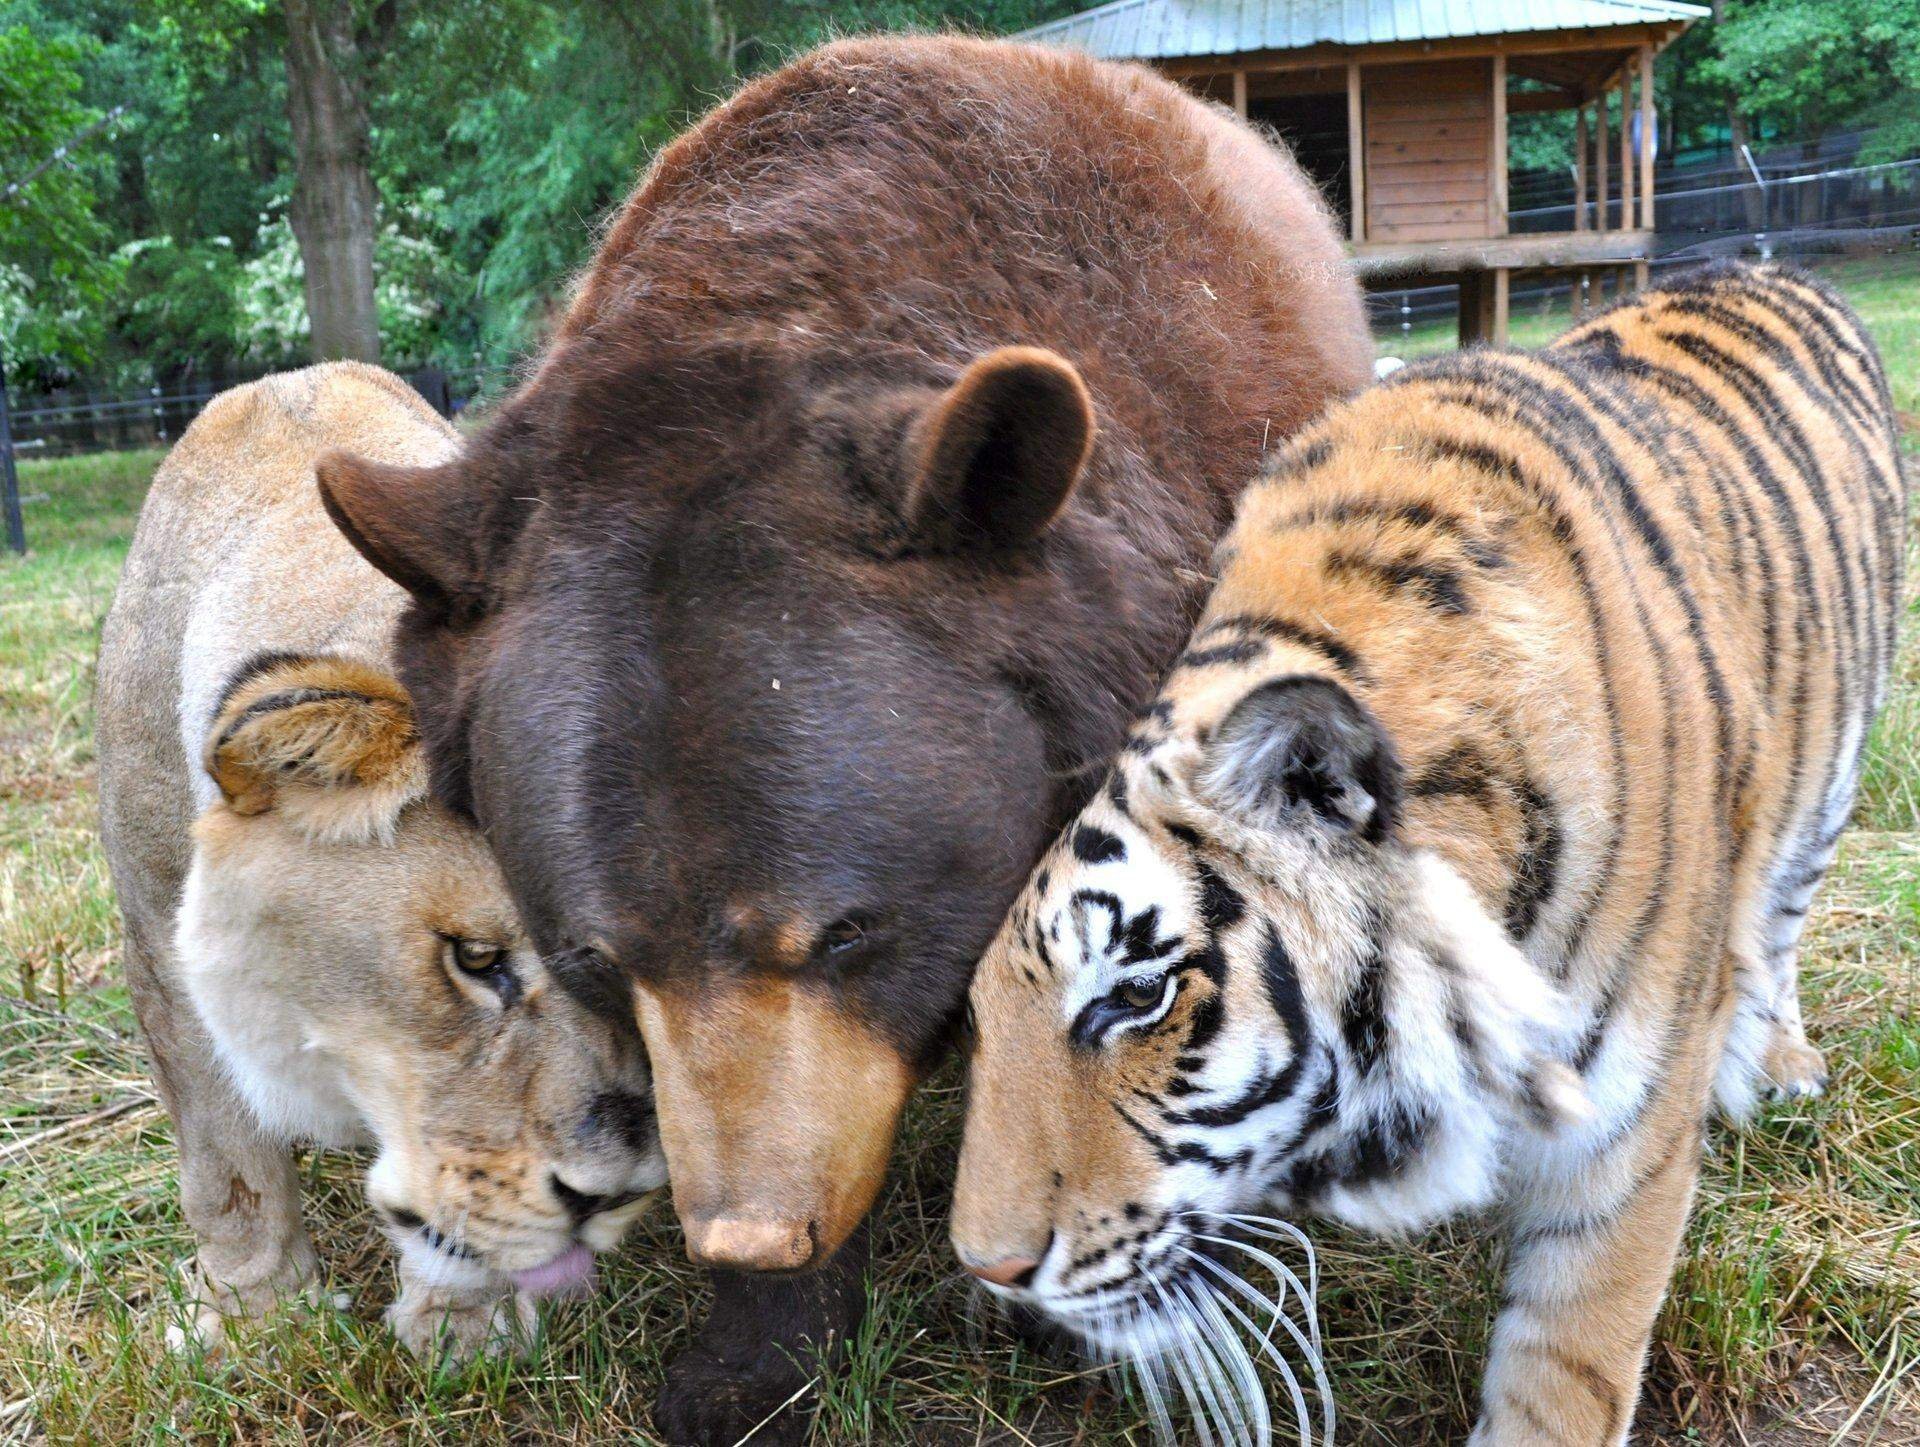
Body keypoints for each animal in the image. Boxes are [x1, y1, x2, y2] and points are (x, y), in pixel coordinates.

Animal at [97, 360, 672, 1351]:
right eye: (475, 959)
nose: (617, 1194)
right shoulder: (159, 945)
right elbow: (227, 1163)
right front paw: (254, 1319)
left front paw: (465, 1329)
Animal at [952, 262, 1912, 1443]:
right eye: (980, 1015)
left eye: (1135, 995)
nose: (987, 1268)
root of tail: (1768, 263)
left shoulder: (1623, 1141)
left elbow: (1565, 1373)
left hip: (1829, 788)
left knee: (1776, 924)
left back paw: (1777, 1065)